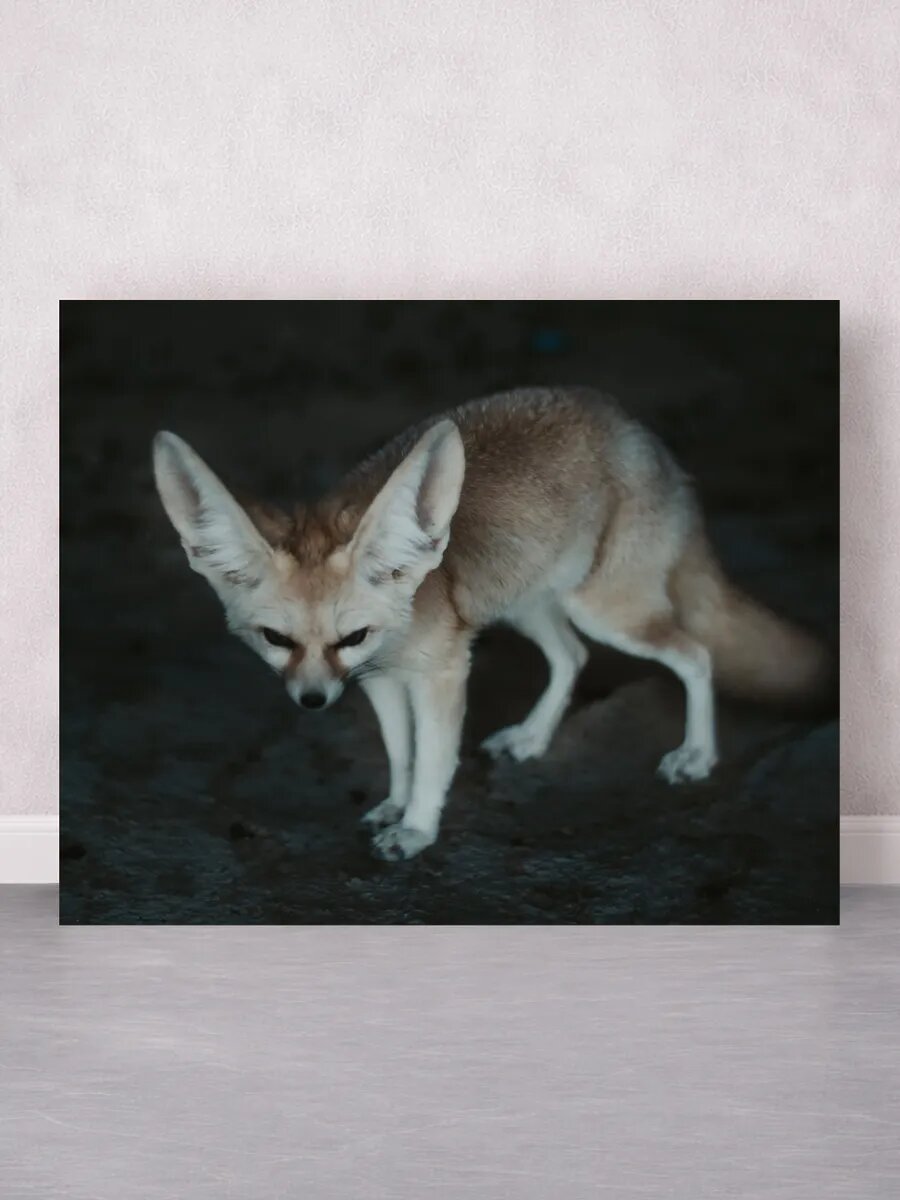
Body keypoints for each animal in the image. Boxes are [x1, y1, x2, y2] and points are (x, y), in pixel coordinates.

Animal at [153, 386, 829, 861]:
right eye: (276, 640)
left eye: (351, 636)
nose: (312, 701)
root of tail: (642, 437)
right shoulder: (379, 679)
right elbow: (401, 753)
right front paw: (395, 804)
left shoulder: (442, 672)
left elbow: (432, 759)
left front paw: (417, 828)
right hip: (530, 604)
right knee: (573, 658)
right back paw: (532, 737)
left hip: (606, 611)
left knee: (697, 656)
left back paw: (697, 755)